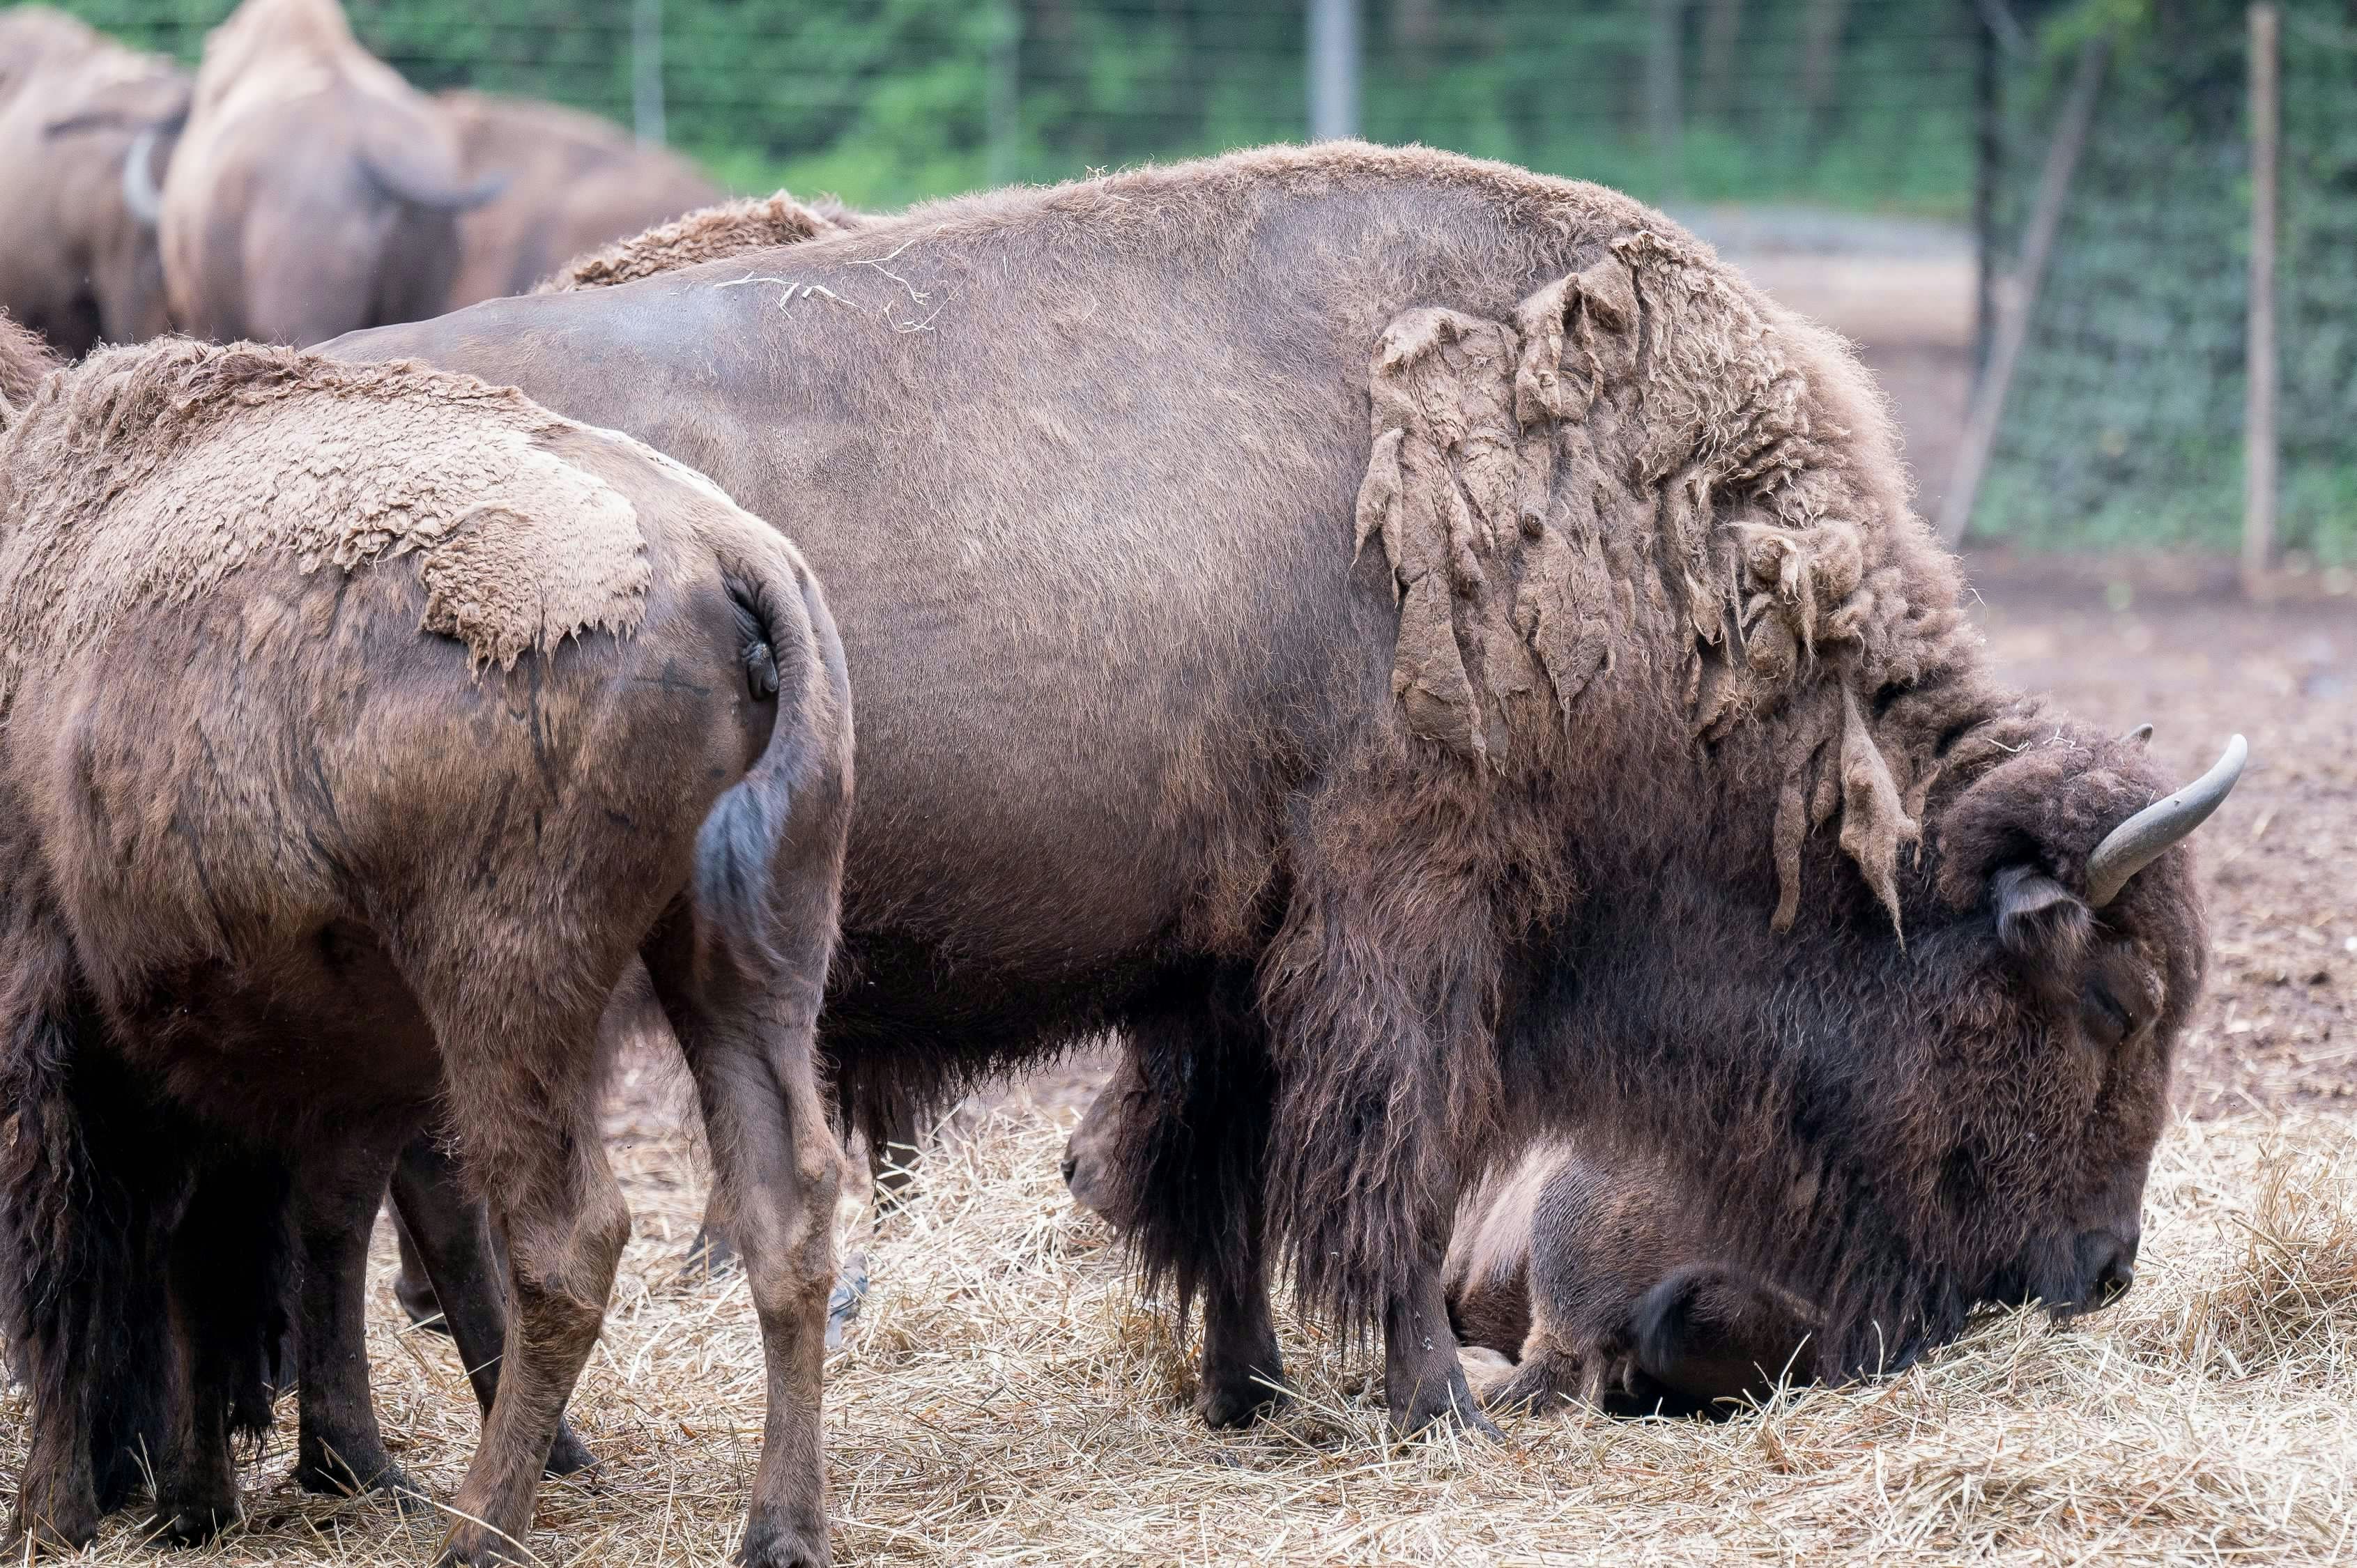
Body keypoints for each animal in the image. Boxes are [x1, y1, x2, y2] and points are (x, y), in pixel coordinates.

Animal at [0, 312, 853, 1564]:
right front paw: (195, 1498)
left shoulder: (55, 1015)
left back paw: (480, 1528)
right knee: (786, 1208)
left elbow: (80, 1253)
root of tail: (725, 554)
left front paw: (54, 1510)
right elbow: (214, 1250)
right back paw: (778, 1527)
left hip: (505, 992)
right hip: (747, 963)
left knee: (567, 1240)